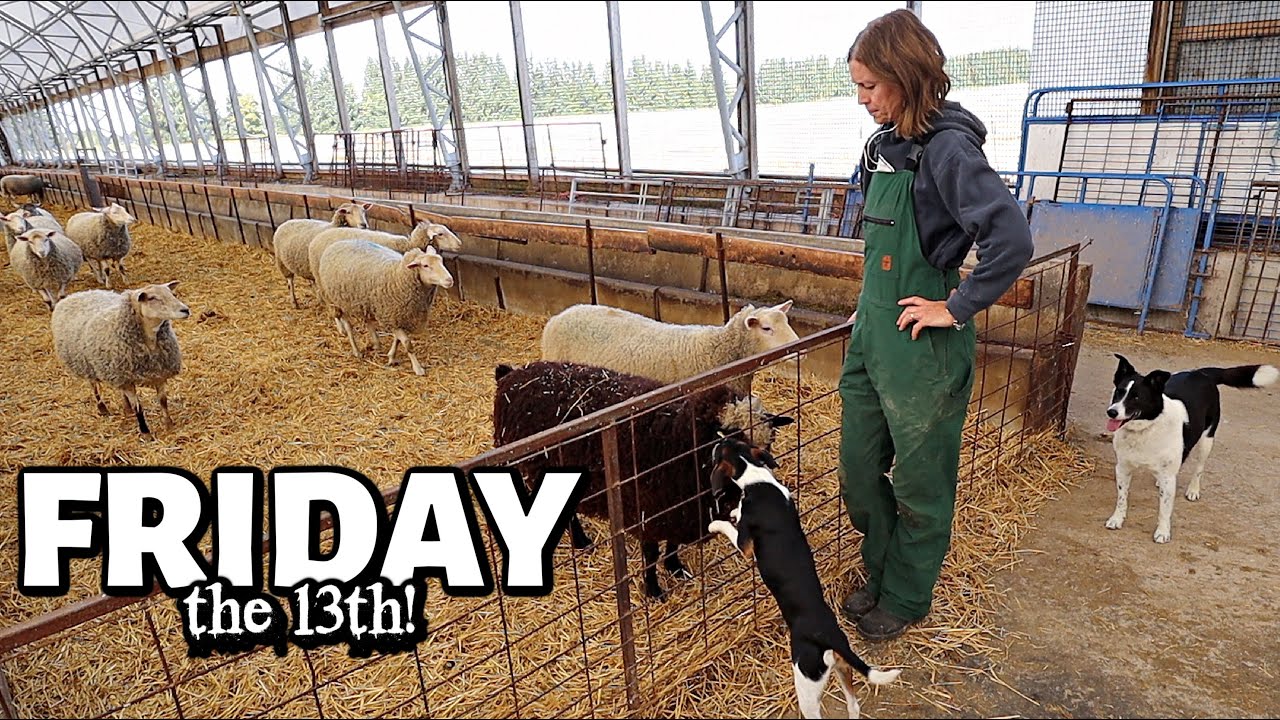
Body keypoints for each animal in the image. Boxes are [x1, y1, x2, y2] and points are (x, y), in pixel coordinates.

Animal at [50, 281, 191, 438]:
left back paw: (126, 408)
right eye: (152, 298)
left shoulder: (158, 373)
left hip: (115, 370)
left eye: (172, 294)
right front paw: (146, 433)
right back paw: (102, 408)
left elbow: (163, 401)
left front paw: (169, 425)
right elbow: (138, 407)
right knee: (94, 386)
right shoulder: (128, 378)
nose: (185, 310)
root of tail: (78, 294)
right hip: (88, 365)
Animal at [316, 239, 454, 376]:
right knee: (349, 326)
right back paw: (356, 351)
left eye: (441, 261)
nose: (449, 280)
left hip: (365, 301)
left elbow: (397, 340)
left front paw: (391, 357)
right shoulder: (390, 316)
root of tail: (337, 243)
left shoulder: (398, 317)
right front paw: (418, 368)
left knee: (368, 321)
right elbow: (407, 343)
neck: (398, 275)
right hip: (337, 301)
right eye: (425, 265)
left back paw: (376, 343)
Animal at [491, 360, 794, 600]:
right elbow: (650, 555)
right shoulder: (647, 511)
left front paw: (675, 568)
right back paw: (580, 540)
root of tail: (512, 374)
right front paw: (654, 590)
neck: (681, 439)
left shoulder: (675, 510)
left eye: (767, 447)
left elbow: (672, 544)